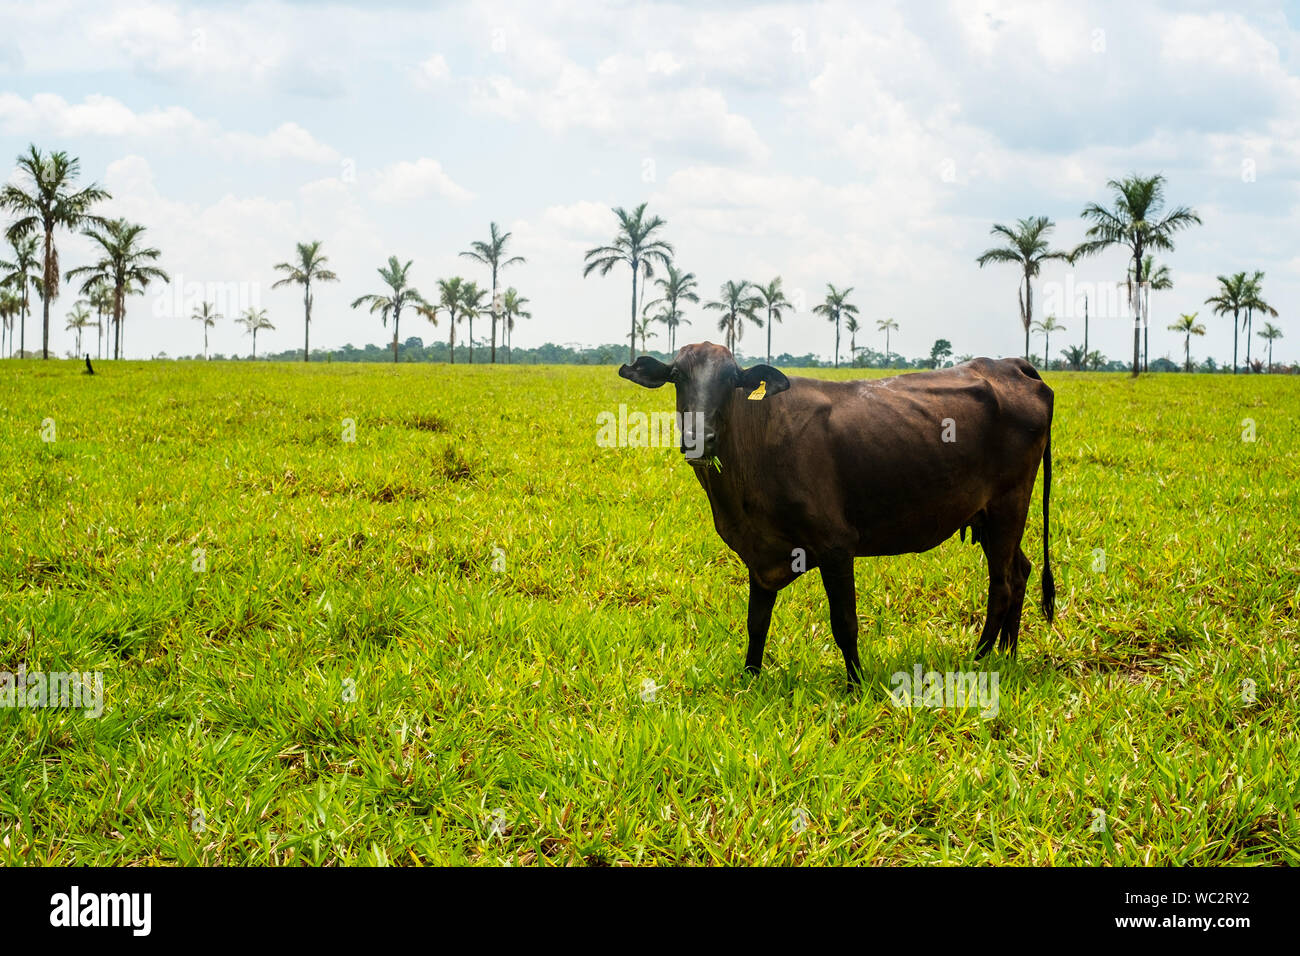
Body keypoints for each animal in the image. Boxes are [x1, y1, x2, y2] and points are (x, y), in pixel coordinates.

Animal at [618, 342, 1055, 689]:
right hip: (989, 517)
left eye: (732, 380)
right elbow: (756, 623)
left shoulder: (835, 547)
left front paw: (855, 685)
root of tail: (1010, 364)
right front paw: (750, 679)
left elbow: (844, 623)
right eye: (677, 375)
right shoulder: (761, 555)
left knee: (1002, 585)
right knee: (1021, 571)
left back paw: (978, 660)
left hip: (1008, 505)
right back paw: (1008, 655)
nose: (699, 437)